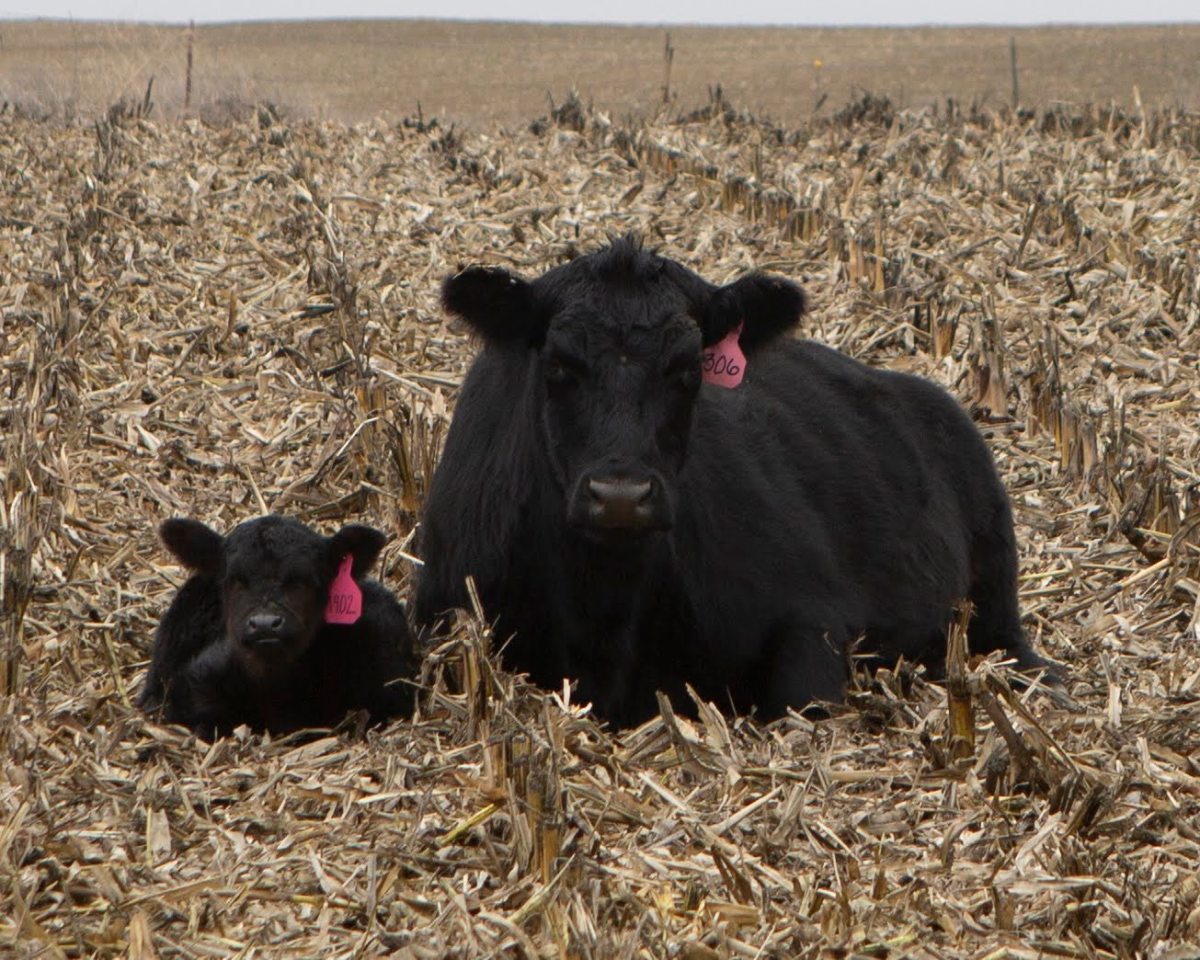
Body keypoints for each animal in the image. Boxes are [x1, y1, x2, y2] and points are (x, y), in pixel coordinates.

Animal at [414, 236, 1053, 727]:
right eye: (557, 366)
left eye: (688, 370)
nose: (620, 497)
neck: (604, 607)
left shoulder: (812, 617)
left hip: (992, 599)